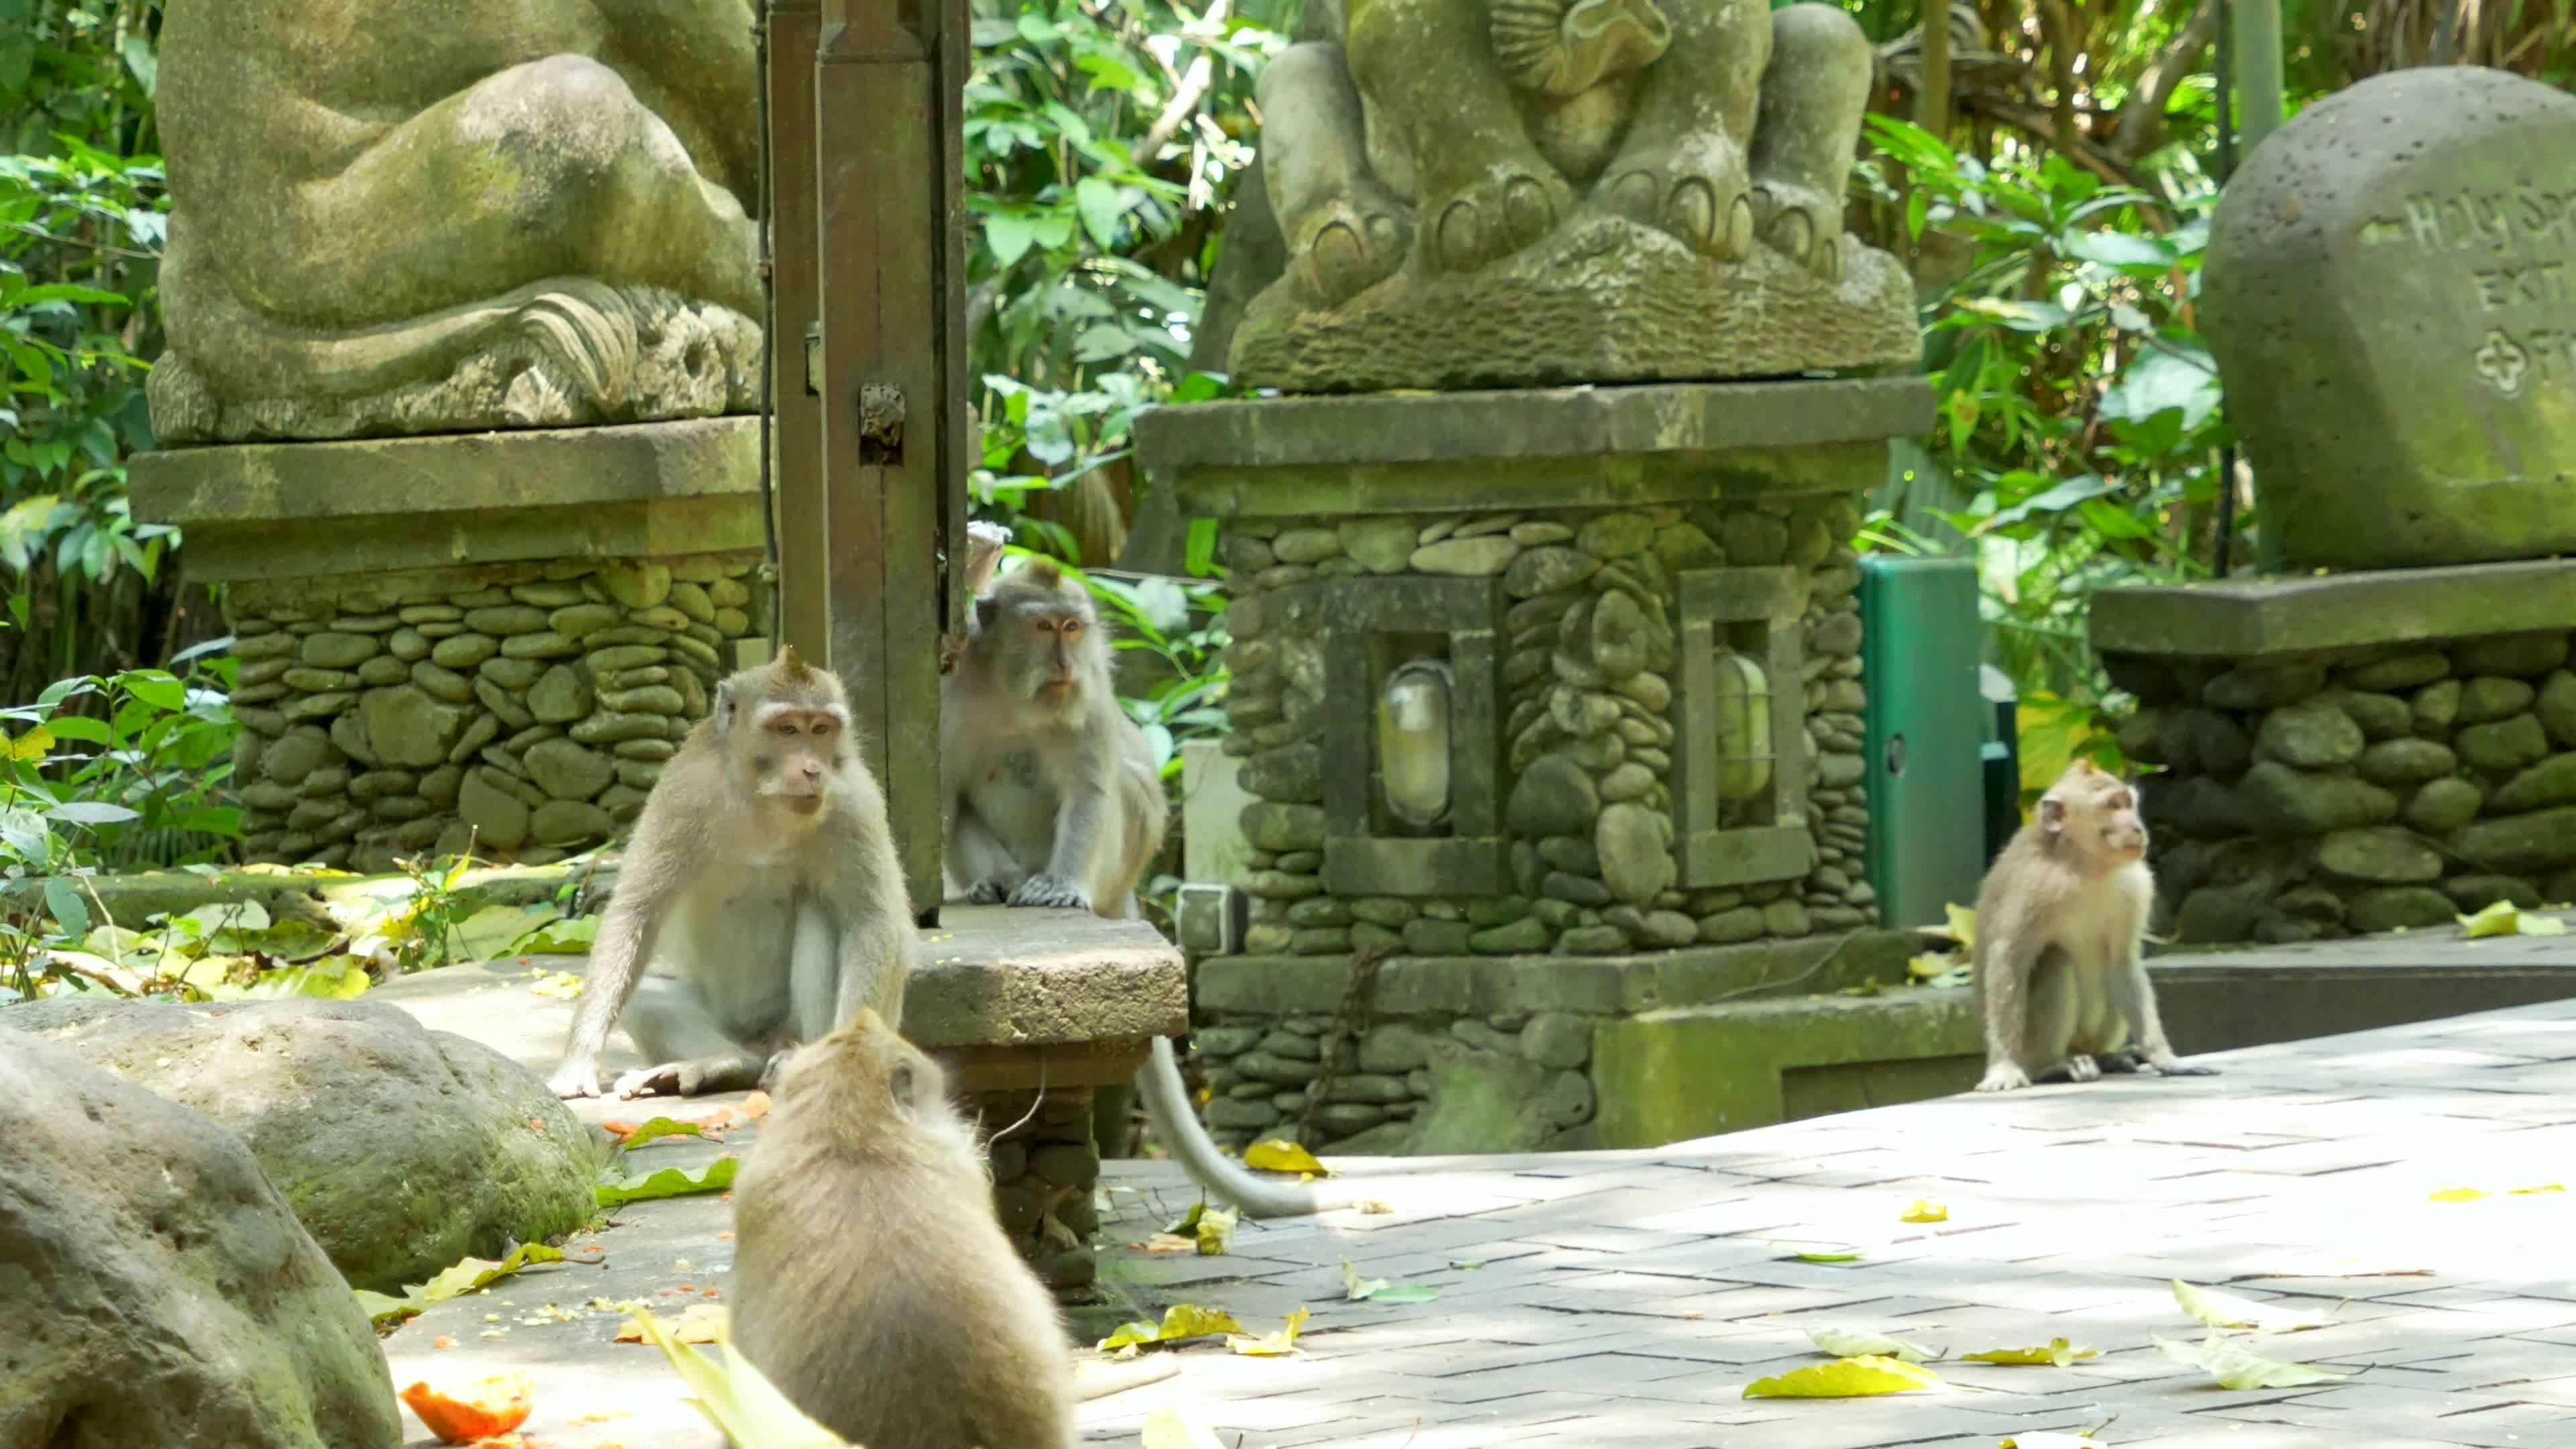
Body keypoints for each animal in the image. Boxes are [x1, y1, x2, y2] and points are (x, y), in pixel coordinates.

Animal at [546, 646, 917, 1101]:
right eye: (788, 729)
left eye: (821, 729)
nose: (813, 770)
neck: (765, 802)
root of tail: (760, 1041)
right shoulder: (682, 794)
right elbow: (636, 913)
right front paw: (577, 1062)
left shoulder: (853, 804)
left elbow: (870, 922)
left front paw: (845, 1064)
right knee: (646, 997)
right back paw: (725, 1065)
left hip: (789, 1025)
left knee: (822, 913)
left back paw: (797, 1060)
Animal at [1972, 758, 2217, 1093]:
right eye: (2112, 805)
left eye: (2128, 803)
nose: (2138, 828)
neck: (2084, 865)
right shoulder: (2032, 883)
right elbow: (2007, 960)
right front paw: (2004, 1068)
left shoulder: (2135, 885)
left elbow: (2122, 961)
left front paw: (2164, 1059)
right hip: (2032, 1045)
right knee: (2054, 960)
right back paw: (2050, 1067)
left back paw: (2107, 1057)